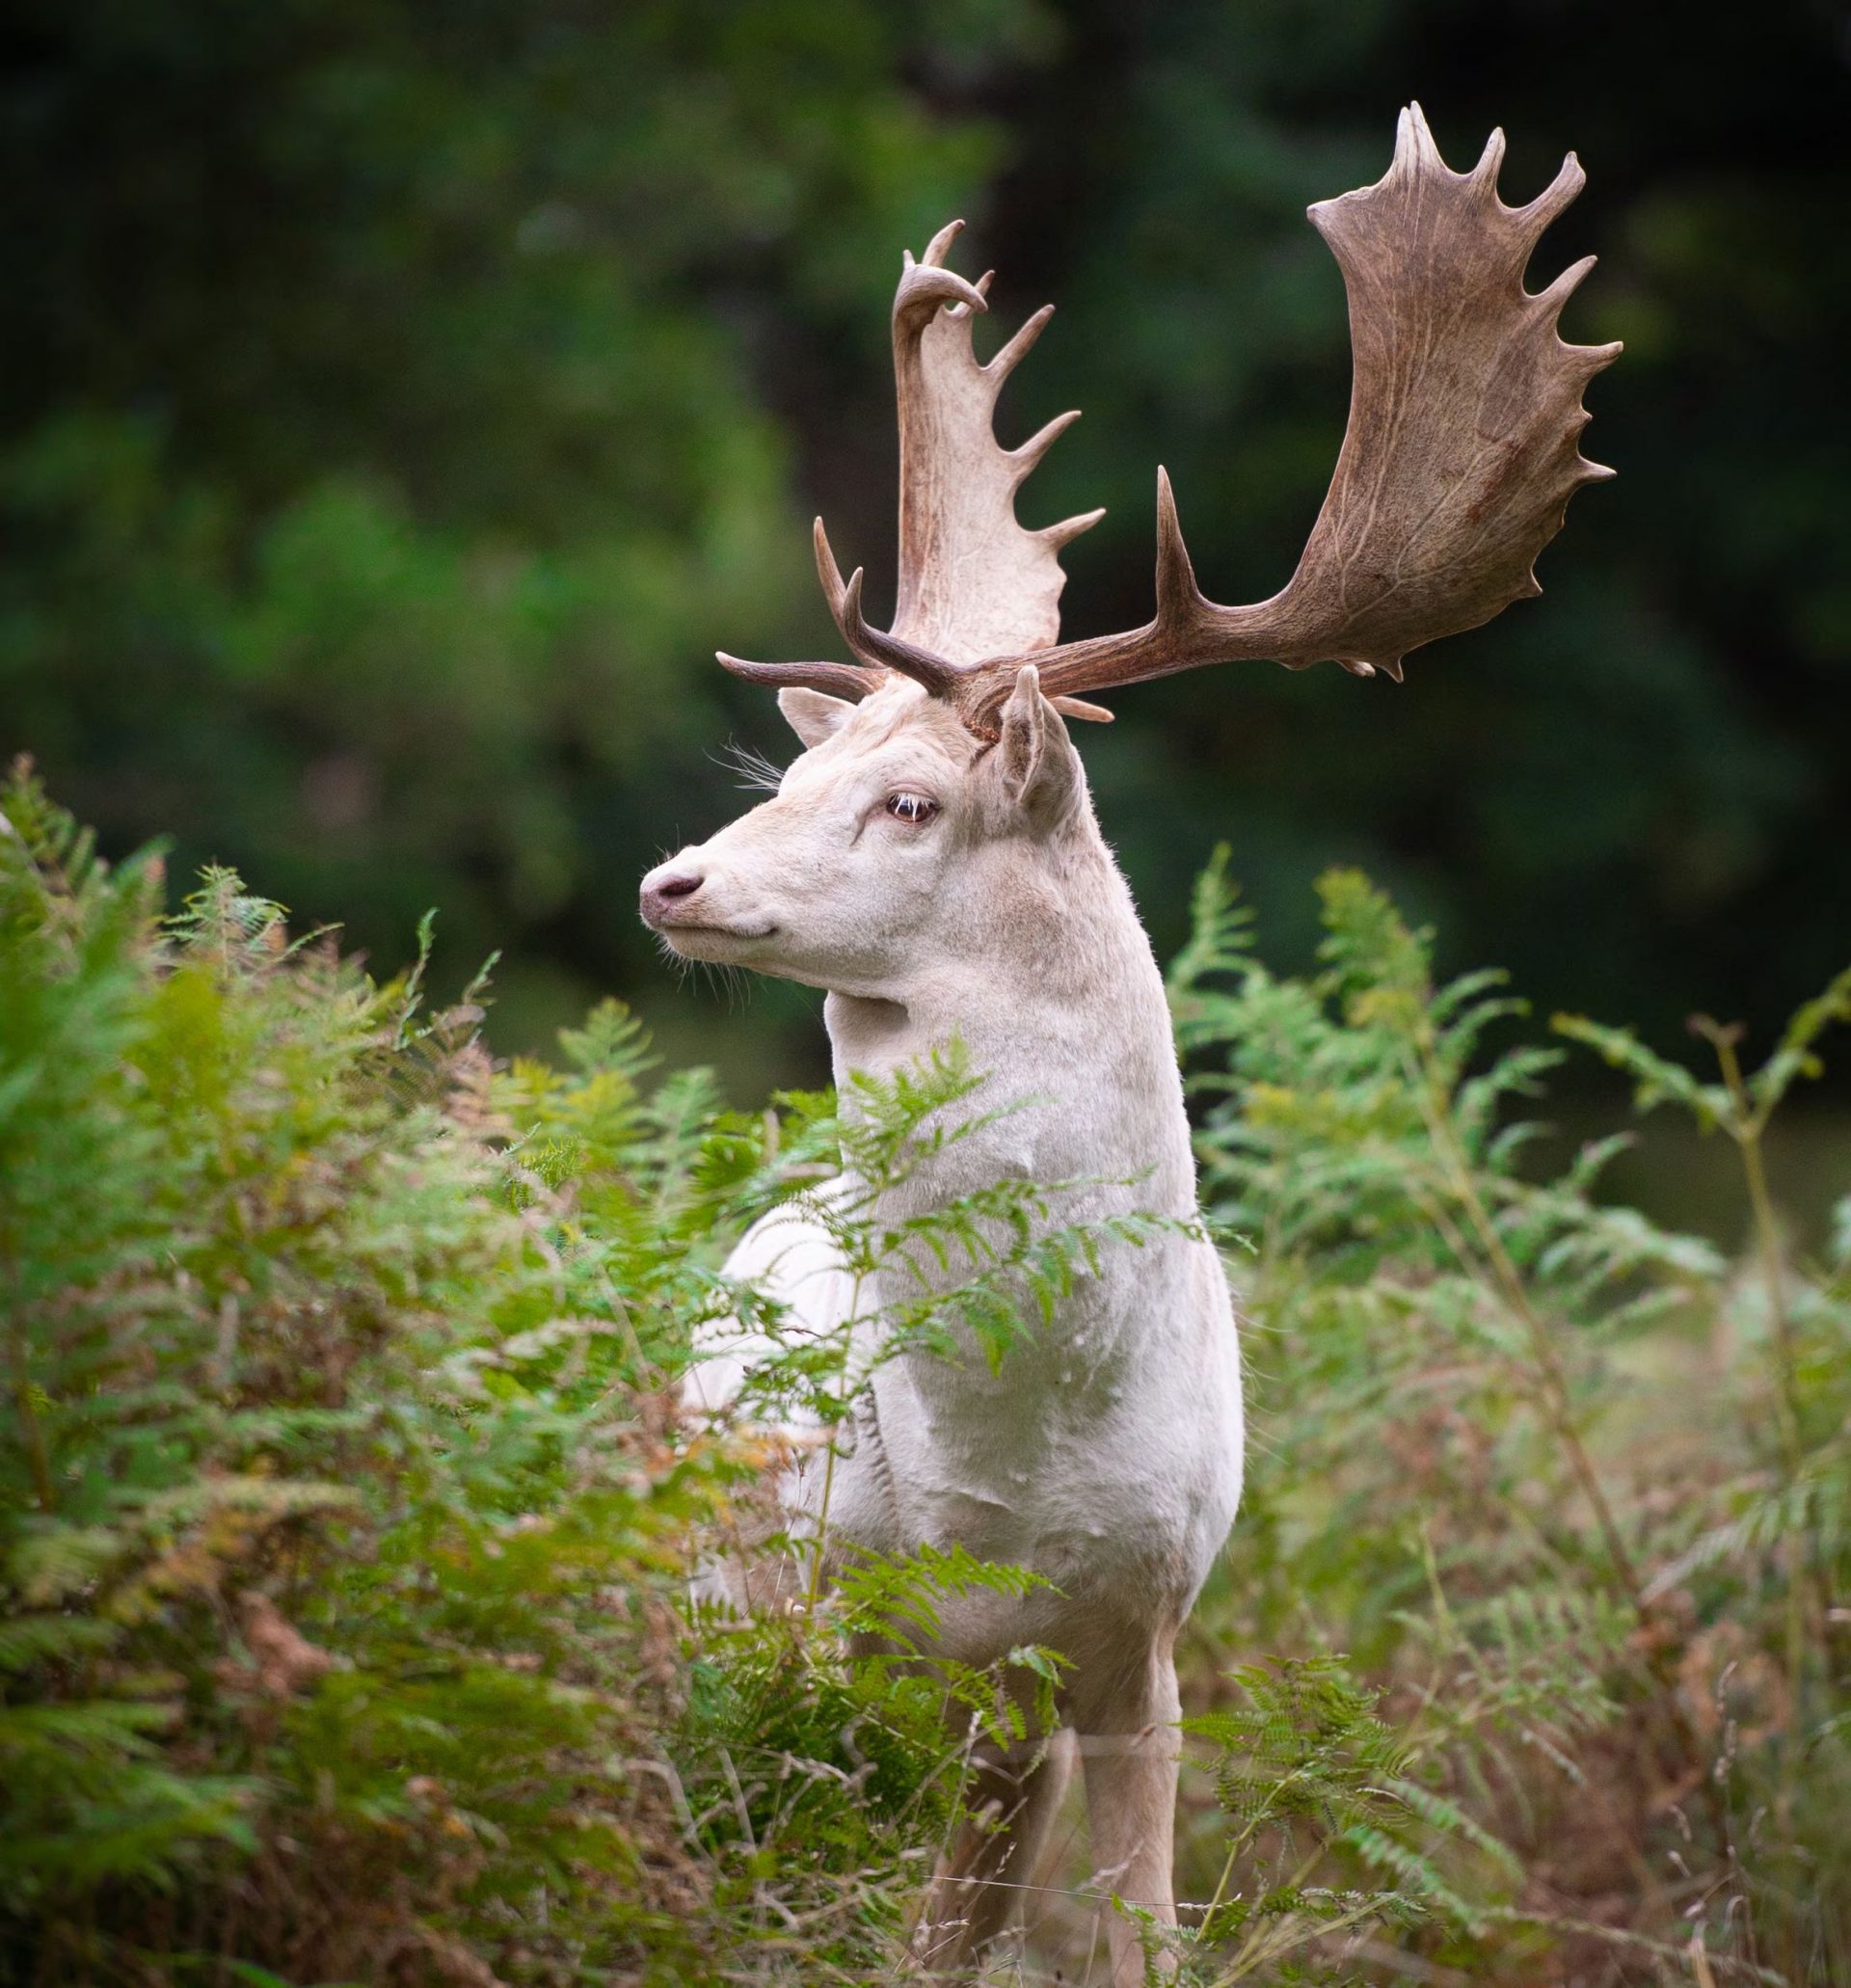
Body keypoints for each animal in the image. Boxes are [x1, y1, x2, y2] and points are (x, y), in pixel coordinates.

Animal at [640, 105, 1617, 1983]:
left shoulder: (1135, 1632)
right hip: (715, 1584)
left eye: (910, 797)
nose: (675, 880)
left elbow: (1133, 1930)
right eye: (786, 772)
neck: (1016, 1459)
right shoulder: (838, 1611)